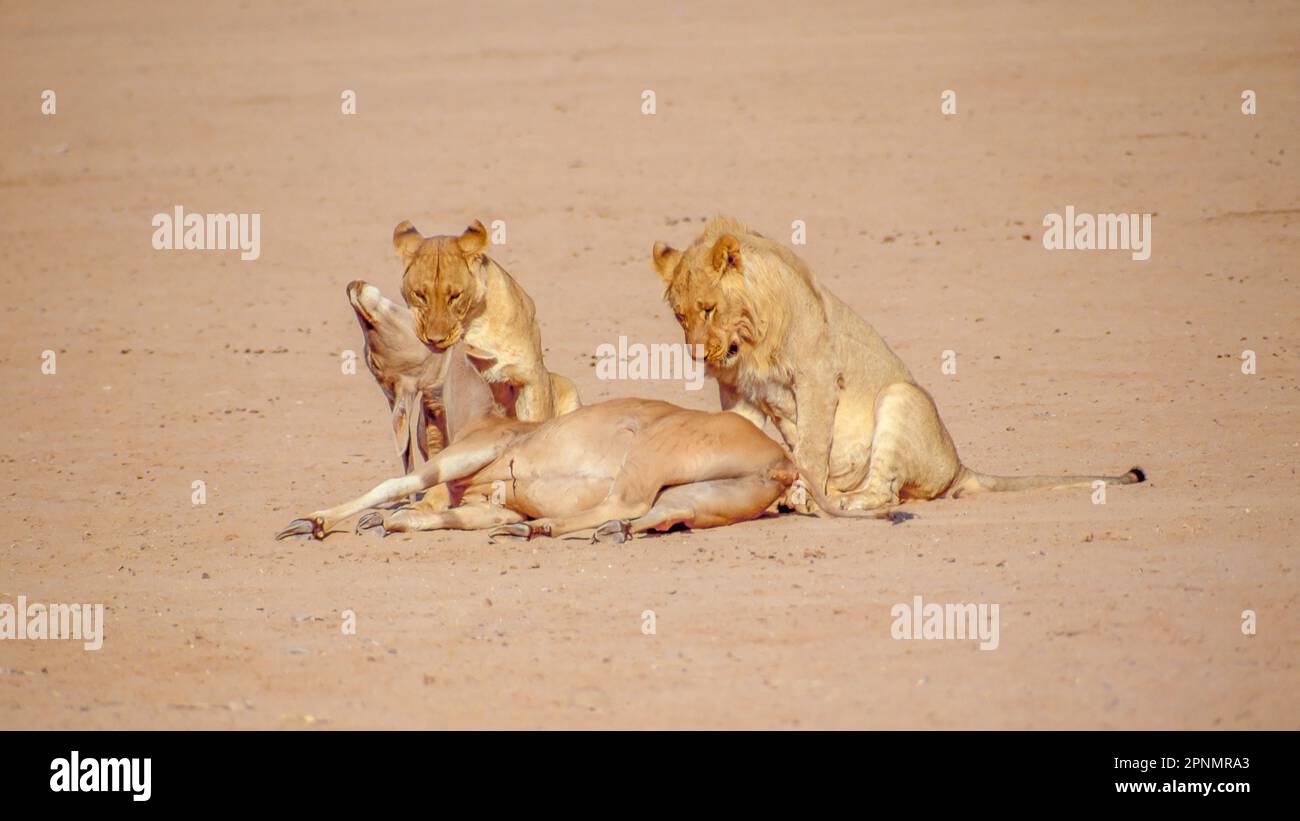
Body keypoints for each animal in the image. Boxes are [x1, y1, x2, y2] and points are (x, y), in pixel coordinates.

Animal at [651, 217, 1145, 511]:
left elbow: (811, 447)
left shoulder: (817, 377)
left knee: (886, 493)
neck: (749, 341)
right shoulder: (740, 393)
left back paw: (839, 502)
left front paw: (803, 493)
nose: (697, 354)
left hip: (900, 395)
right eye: (681, 316)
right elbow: (736, 433)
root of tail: (958, 466)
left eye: (709, 309)